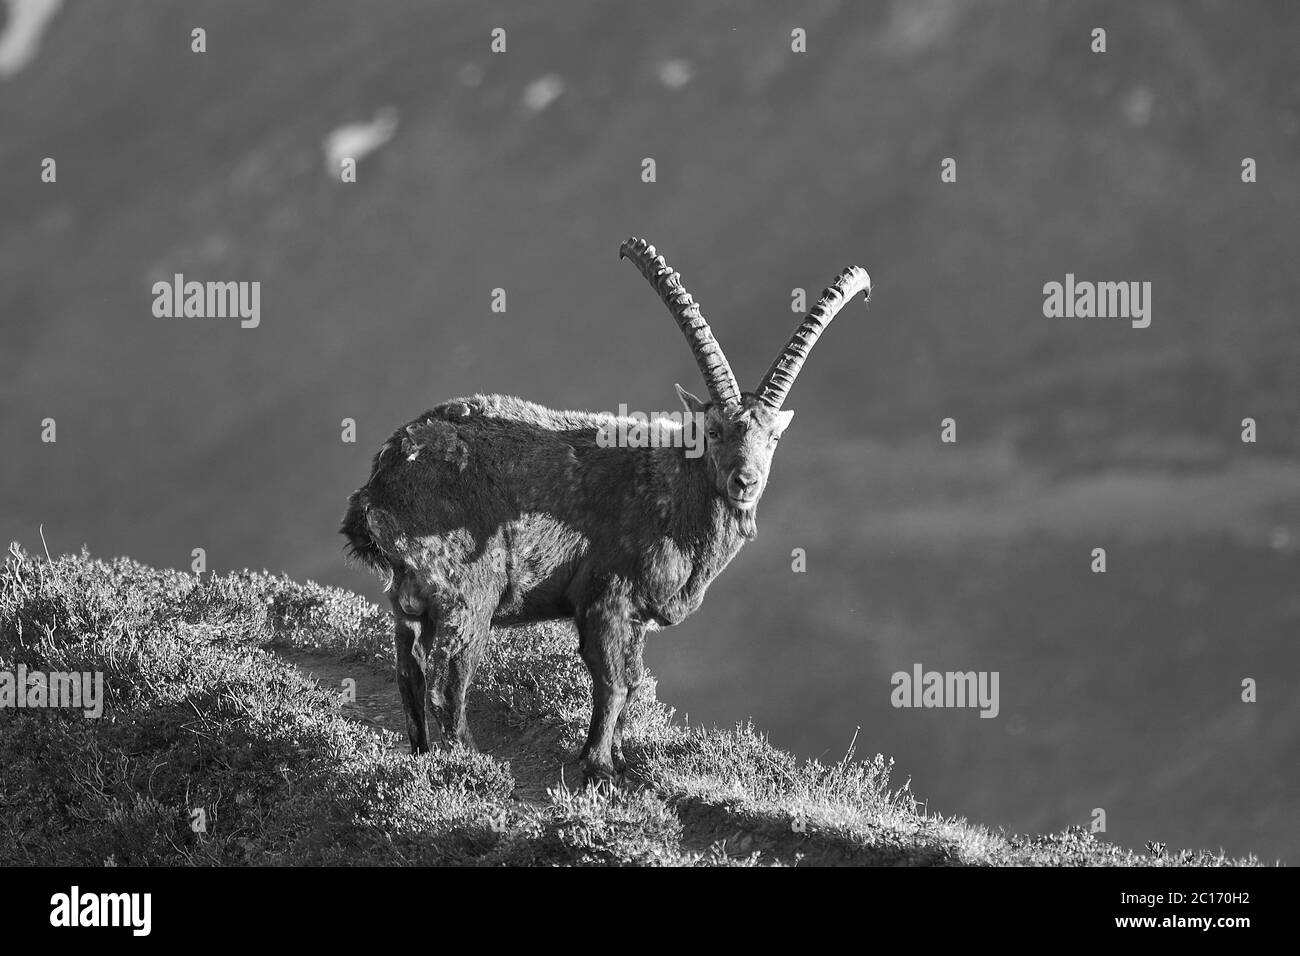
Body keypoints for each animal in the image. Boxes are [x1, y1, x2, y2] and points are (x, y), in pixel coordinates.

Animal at [341, 237, 871, 780]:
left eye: (773, 436)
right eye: (714, 429)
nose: (745, 481)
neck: (671, 494)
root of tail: (382, 482)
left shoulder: (634, 617)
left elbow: (631, 683)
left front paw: (614, 756)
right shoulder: (608, 598)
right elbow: (615, 682)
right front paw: (598, 767)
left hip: (410, 599)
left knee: (409, 669)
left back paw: (423, 754)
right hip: (470, 592)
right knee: (449, 676)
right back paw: (469, 758)